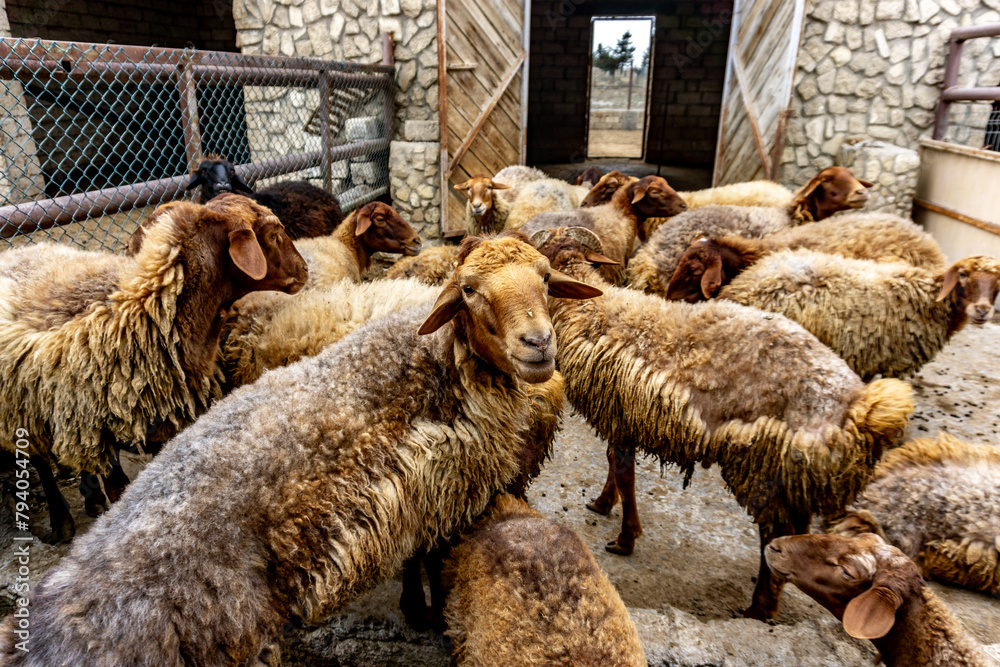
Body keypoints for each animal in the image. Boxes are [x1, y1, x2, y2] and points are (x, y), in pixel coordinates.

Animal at [0, 194, 308, 543]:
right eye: (274, 234)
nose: (305, 269)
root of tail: (18, 251)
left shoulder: (166, 423)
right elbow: (118, 486)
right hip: (22, 407)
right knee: (38, 461)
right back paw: (61, 520)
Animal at [0, 233, 602, 666]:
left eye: (546, 278)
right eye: (471, 291)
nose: (538, 345)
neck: (440, 364)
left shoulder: (425, 495)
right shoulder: (442, 495)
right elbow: (430, 561)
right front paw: (428, 617)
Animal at [530, 225, 913, 620]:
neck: (590, 309)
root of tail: (859, 408)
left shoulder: (620, 415)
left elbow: (624, 474)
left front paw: (624, 538)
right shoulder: (622, 417)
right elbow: (614, 465)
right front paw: (604, 503)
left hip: (763, 470)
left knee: (775, 532)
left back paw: (760, 607)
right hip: (795, 476)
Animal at [717, 251, 1000, 380]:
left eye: (997, 281)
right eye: (962, 275)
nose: (982, 310)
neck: (929, 298)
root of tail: (740, 287)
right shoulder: (895, 362)